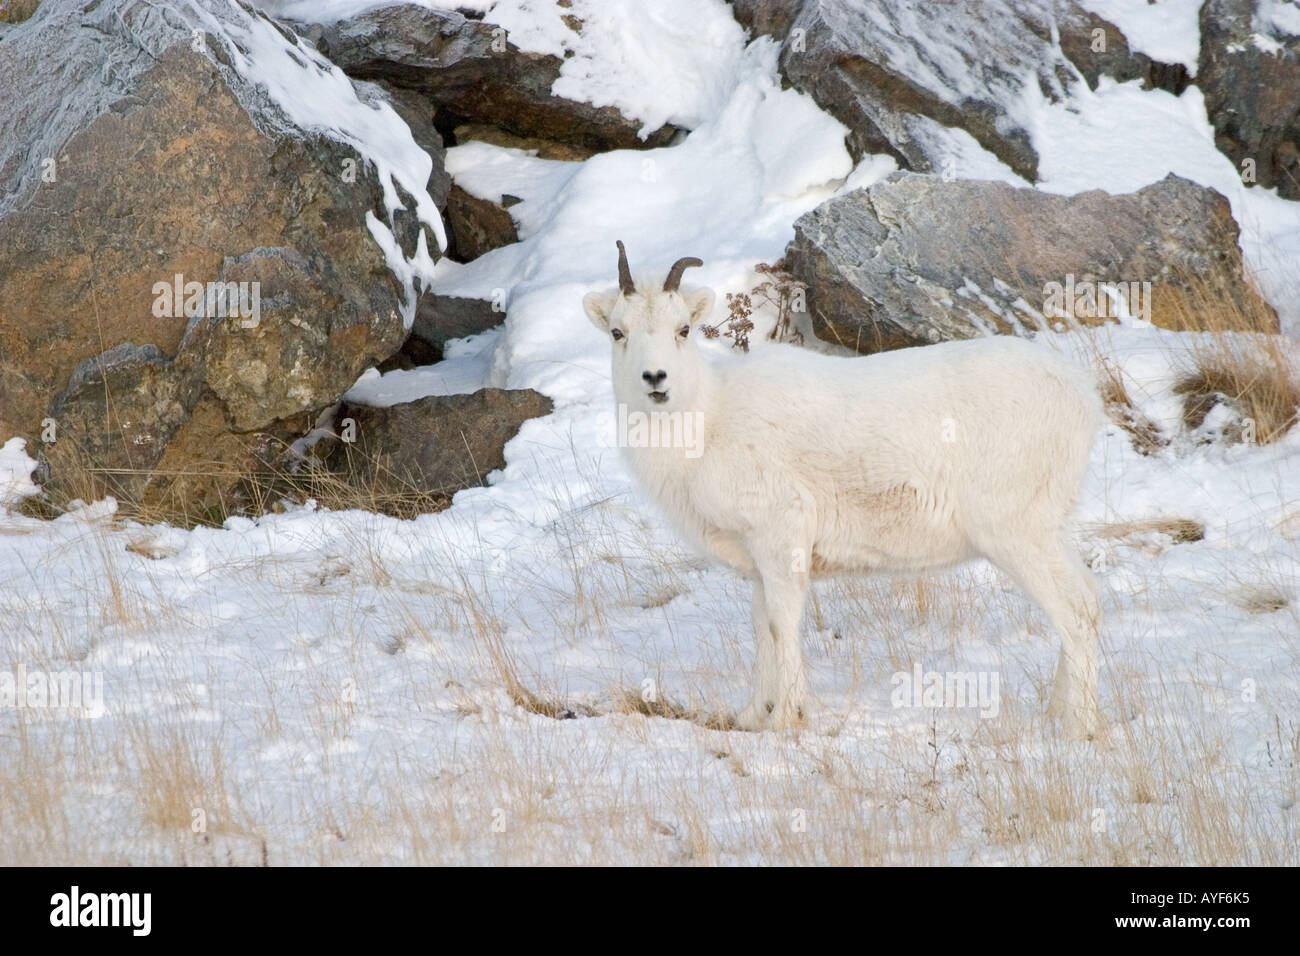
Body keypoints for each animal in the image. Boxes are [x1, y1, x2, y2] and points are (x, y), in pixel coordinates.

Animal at [583, 241, 1103, 739]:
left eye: (683, 329)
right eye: (617, 332)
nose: (655, 380)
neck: (708, 424)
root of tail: (1080, 393)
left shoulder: (781, 539)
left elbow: (781, 625)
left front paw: (785, 720)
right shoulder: (758, 563)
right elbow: (761, 630)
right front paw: (751, 717)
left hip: (1016, 534)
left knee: (1077, 613)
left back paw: (1077, 728)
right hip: (1050, 531)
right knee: (1087, 600)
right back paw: (1055, 714)